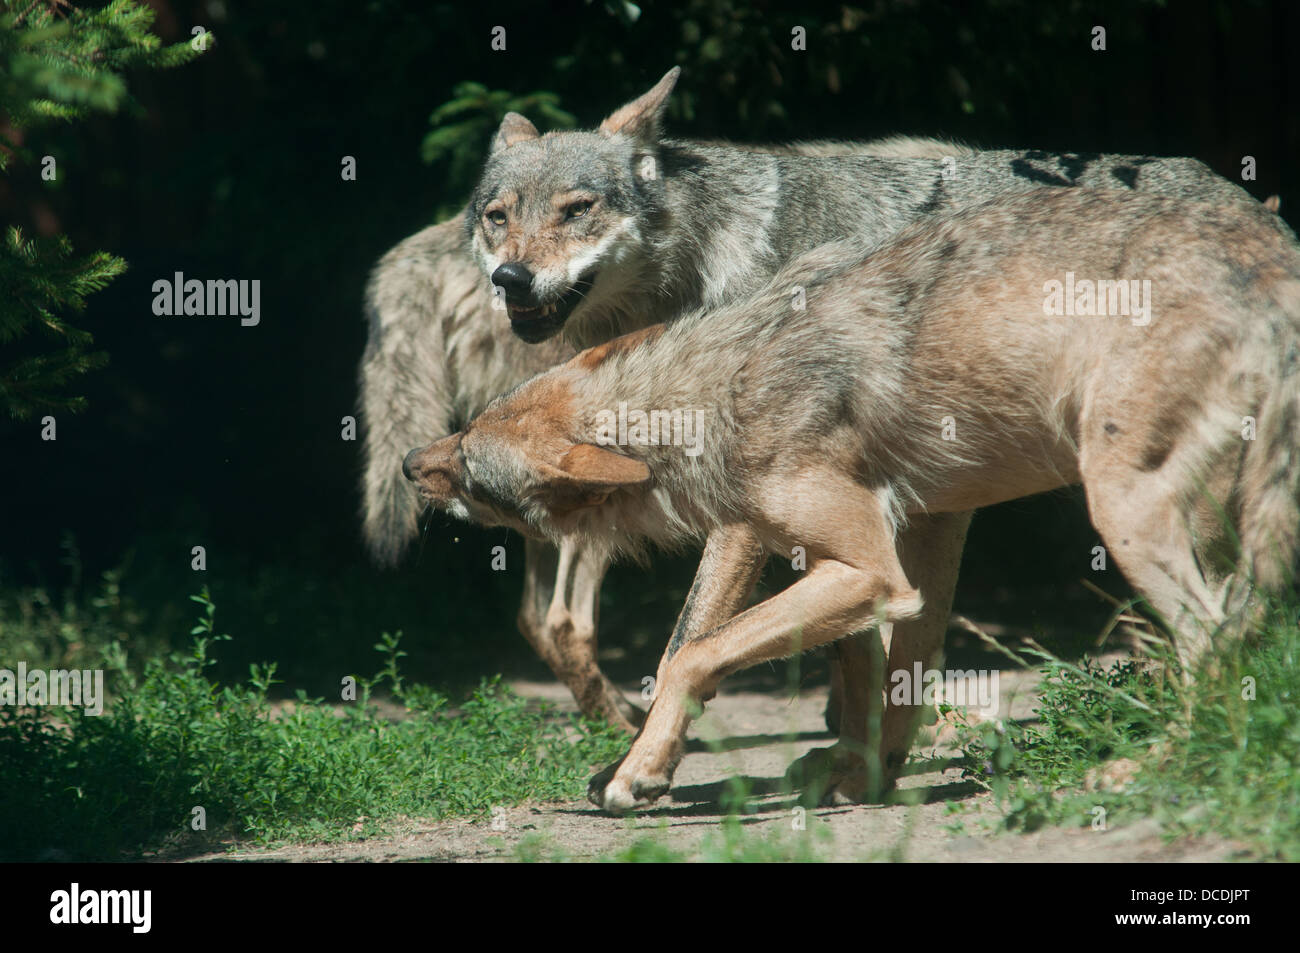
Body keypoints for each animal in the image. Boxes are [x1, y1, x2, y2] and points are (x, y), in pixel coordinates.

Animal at [451, 65, 1287, 747]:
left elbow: (686, 636)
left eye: (576, 209)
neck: (718, 258)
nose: (510, 278)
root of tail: (1257, 205)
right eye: (498, 215)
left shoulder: (748, 501)